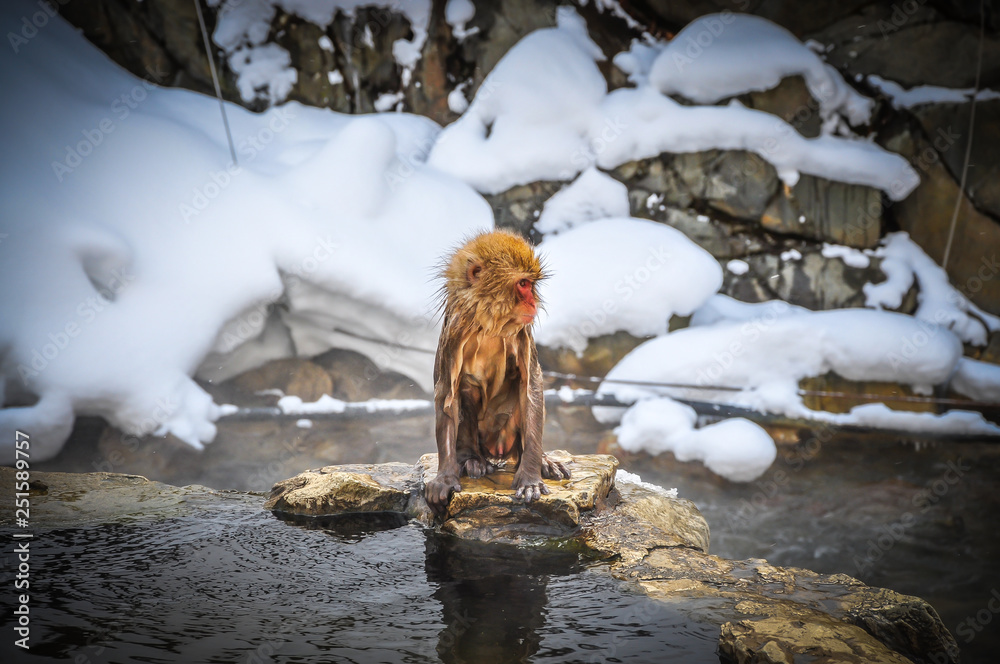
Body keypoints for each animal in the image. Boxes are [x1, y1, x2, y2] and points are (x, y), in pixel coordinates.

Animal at [424, 230, 571, 514]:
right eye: (523, 284)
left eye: (530, 284)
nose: (532, 301)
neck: (488, 325)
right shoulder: (453, 333)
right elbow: (447, 393)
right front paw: (445, 477)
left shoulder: (523, 333)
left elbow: (530, 384)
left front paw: (530, 477)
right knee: (467, 390)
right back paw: (471, 459)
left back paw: (540, 460)